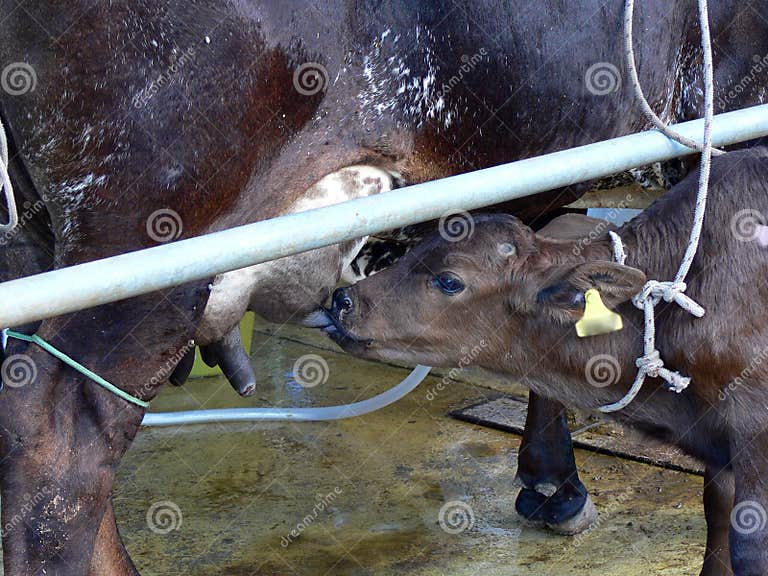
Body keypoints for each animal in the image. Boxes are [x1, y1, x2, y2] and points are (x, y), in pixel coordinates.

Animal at [319, 147, 768, 576]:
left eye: (449, 280)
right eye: (416, 251)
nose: (342, 300)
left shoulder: (751, 429)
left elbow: (748, 545)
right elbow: (718, 514)